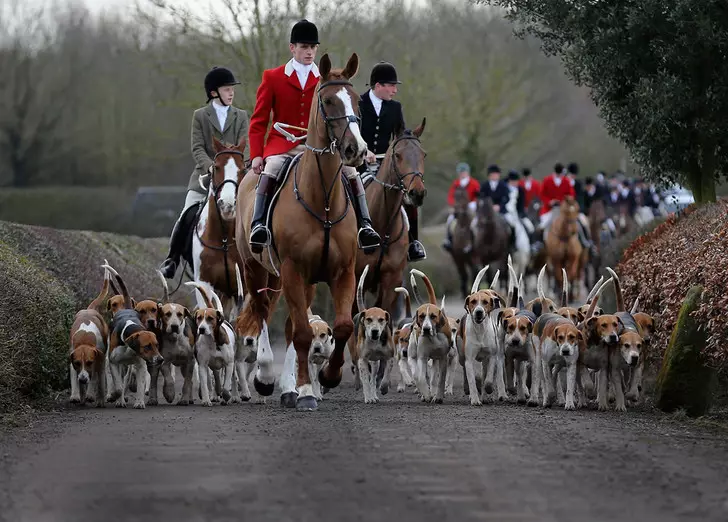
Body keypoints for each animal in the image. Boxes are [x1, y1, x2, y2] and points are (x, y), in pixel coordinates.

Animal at [191, 135, 247, 316]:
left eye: (243, 169)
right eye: (216, 167)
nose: (227, 205)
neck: (224, 239)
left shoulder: (244, 288)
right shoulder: (204, 283)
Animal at [236, 52, 366, 410]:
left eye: (358, 100)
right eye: (329, 100)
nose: (357, 150)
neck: (322, 202)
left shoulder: (342, 271)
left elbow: (342, 326)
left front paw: (328, 377)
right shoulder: (293, 270)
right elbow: (304, 333)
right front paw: (307, 391)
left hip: (297, 281)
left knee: (292, 324)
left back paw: (288, 387)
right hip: (256, 269)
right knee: (263, 312)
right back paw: (267, 377)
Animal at [346, 119, 426, 386]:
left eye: (423, 154)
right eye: (398, 154)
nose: (417, 193)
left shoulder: (390, 279)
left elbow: (384, 314)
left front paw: (381, 373)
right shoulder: (355, 276)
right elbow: (356, 316)